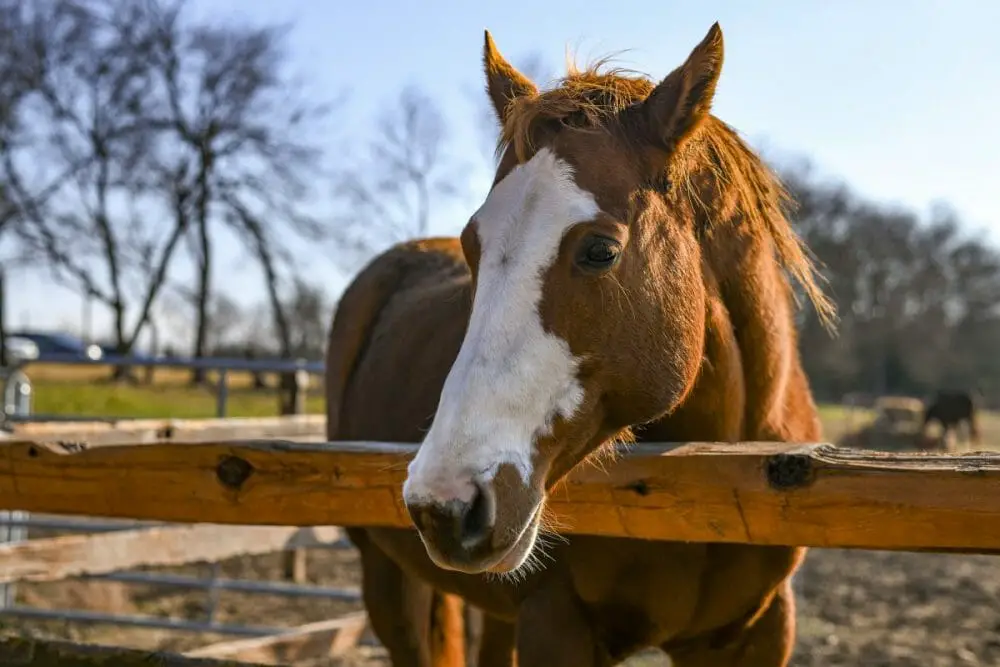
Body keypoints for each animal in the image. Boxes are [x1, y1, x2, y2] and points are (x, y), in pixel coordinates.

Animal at [326, 23, 835, 667]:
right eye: (472, 245)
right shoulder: (557, 626)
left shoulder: (757, 632)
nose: (443, 504)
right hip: (386, 577)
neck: (717, 475)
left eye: (600, 250)